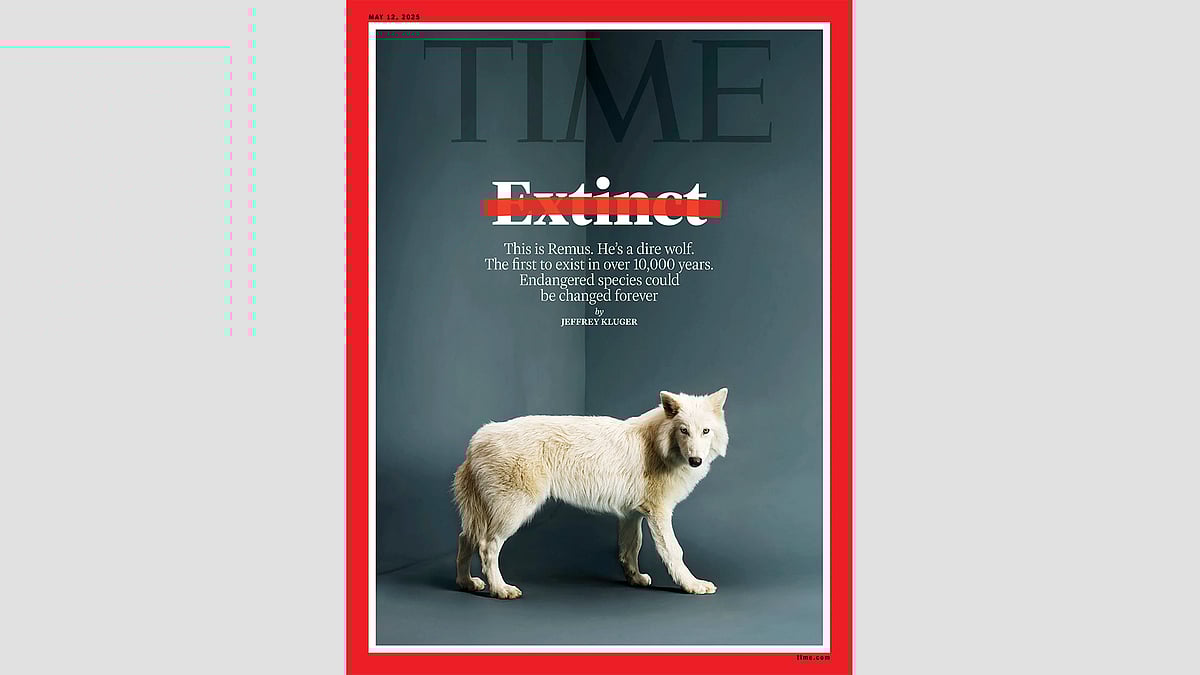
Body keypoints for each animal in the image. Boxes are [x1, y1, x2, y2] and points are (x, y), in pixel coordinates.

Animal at [452, 388, 729, 598]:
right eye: (684, 430)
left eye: (705, 431)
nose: (695, 461)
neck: (657, 445)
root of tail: (477, 439)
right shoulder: (659, 513)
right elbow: (674, 551)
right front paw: (693, 585)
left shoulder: (631, 515)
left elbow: (631, 549)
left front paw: (635, 578)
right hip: (513, 512)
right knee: (487, 546)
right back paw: (500, 589)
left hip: (482, 515)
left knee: (465, 538)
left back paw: (466, 583)